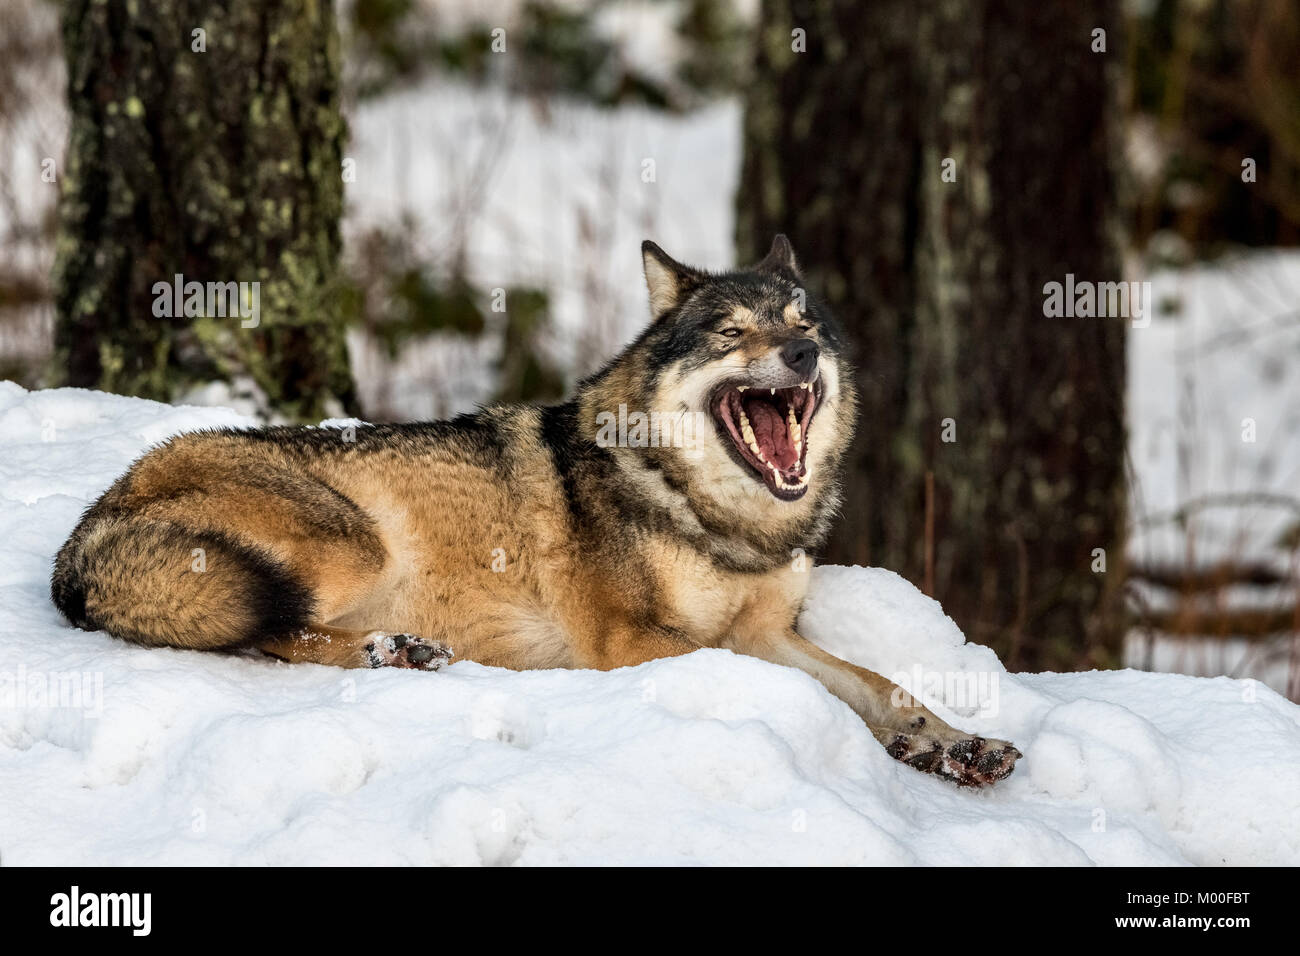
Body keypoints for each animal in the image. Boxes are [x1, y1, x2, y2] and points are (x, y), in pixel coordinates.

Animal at [52, 236, 1021, 787]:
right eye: (733, 333)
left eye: (802, 321)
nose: (804, 353)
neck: (722, 519)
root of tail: (82, 538)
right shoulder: (636, 641)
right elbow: (812, 694)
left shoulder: (765, 630)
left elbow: (883, 685)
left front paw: (955, 743)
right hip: (347, 544)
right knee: (268, 631)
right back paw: (390, 652)